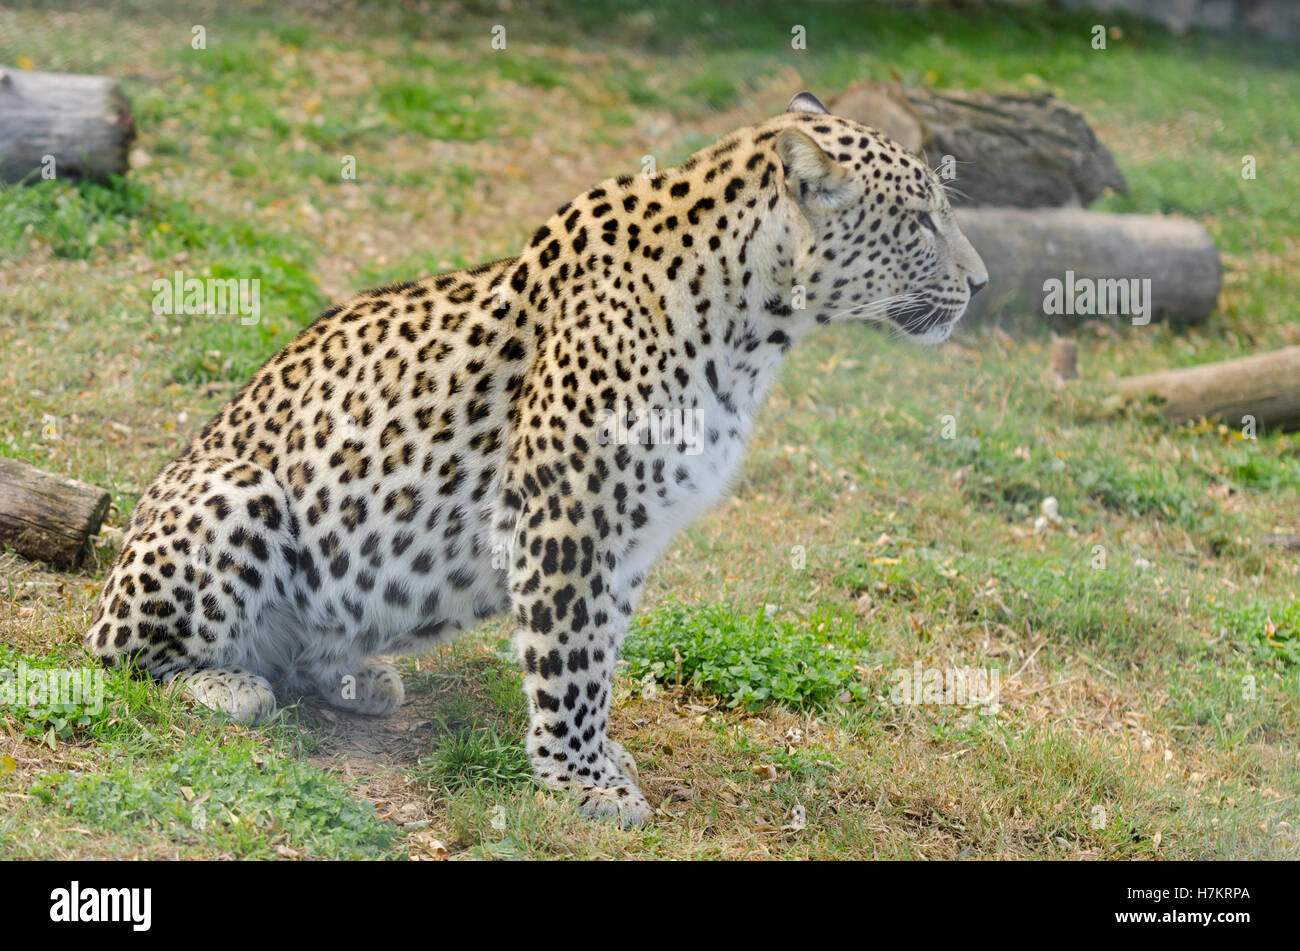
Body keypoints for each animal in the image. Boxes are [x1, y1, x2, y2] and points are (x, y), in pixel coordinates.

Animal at [86, 91, 987, 827]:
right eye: (921, 221)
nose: (979, 284)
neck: (753, 328)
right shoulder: (571, 516)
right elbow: (573, 654)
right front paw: (582, 781)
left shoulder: (634, 534)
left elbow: (604, 652)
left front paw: (602, 755)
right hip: (235, 490)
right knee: (117, 654)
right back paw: (226, 682)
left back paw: (354, 677)